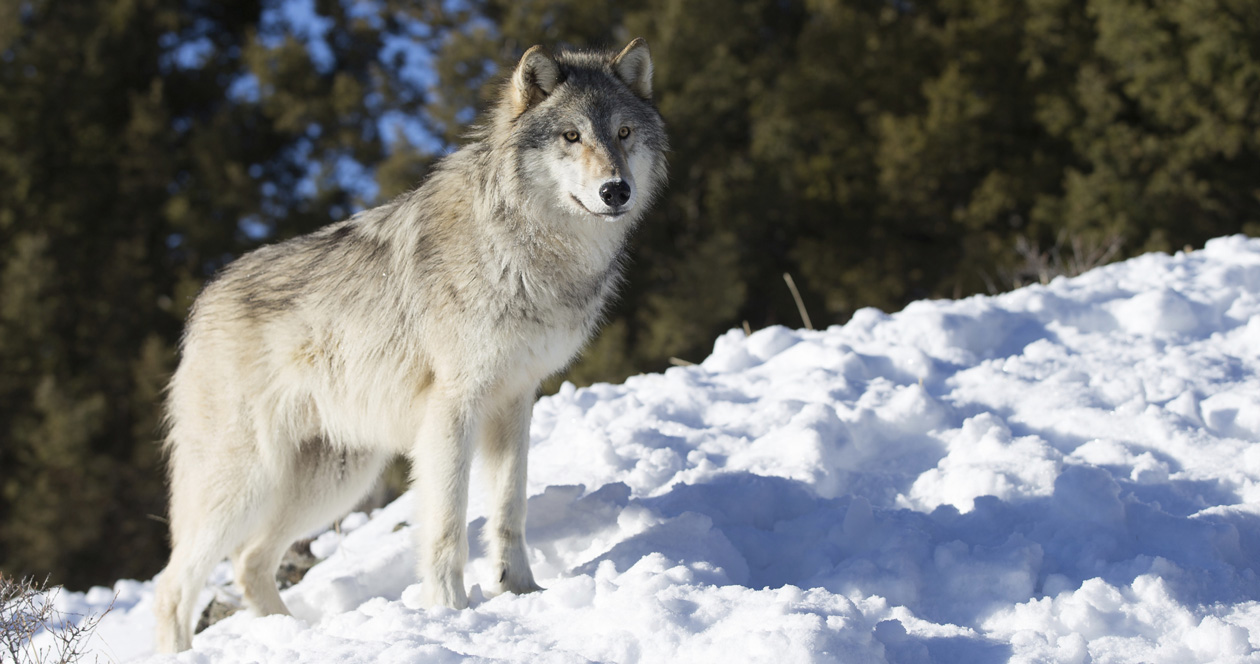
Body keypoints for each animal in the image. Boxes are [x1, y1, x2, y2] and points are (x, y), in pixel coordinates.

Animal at [153, 39, 667, 653]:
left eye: (623, 133)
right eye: (571, 135)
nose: (617, 190)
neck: (524, 248)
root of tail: (204, 300)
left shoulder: (516, 401)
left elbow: (509, 509)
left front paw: (521, 592)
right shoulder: (453, 409)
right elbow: (447, 522)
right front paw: (450, 611)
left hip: (335, 482)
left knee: (249, 562)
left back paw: (292, 634)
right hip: (245, 483)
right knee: (173, 584)